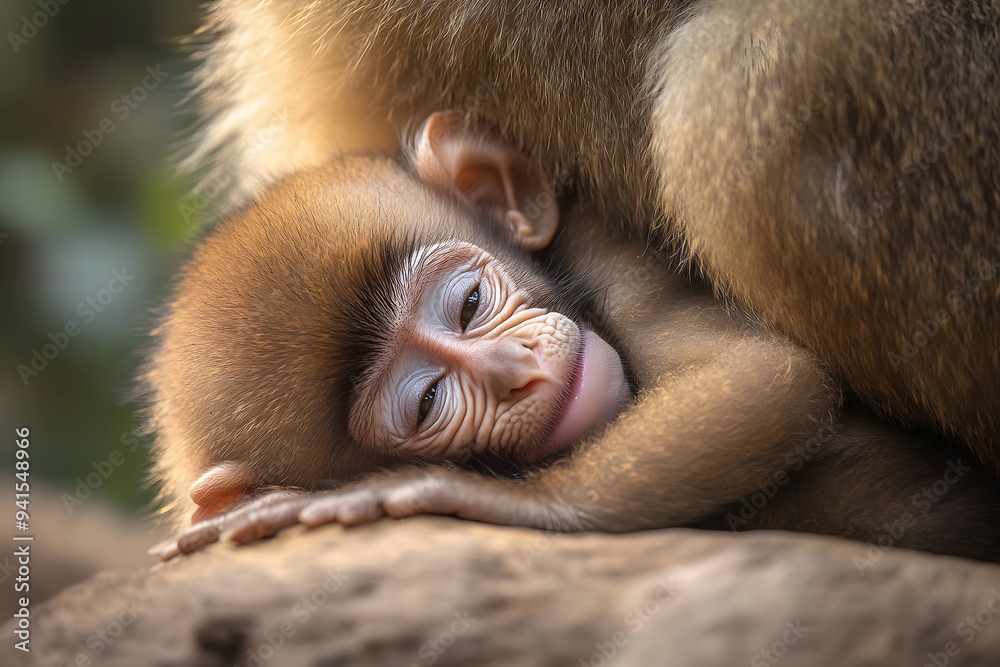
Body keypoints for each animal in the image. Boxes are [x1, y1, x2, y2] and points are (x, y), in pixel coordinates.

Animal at [149, 113, 1000, 563]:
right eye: (426, 402)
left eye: (469, 303)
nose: (512, 368)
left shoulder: (607, 256)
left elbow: (760, 373)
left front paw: (472, 497)